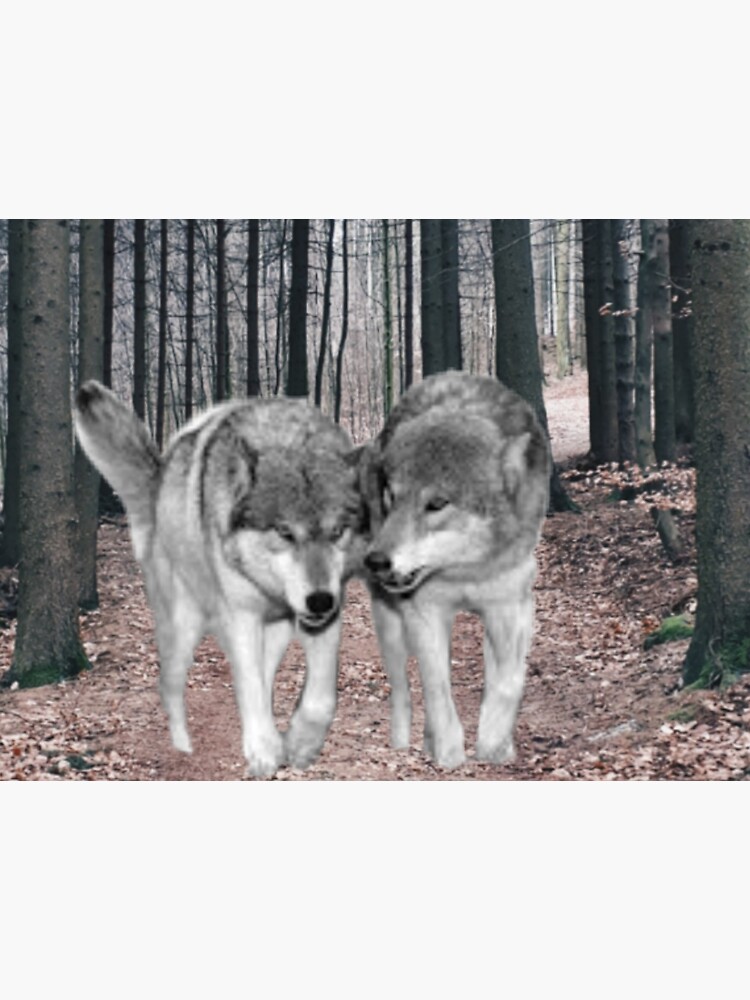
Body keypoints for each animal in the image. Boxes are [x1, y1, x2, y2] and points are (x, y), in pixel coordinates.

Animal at [74, 382, 362, 777]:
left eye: (337, 532)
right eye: (285, 533)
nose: (319, 601)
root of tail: (159, 480)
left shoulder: (328, 610)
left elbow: (319, 697)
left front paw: (300, 743)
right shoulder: (240, 616)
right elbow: (249, 685)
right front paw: (263, 750)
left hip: (274, 631)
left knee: (264, 676)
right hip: (184, 629)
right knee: (169, 686)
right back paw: (183, 747)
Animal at [360, 371, 550, 769]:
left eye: (436, 504)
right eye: (392, 498)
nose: (376, 561)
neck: (464, 571)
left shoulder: (511, 608)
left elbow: (509, 682)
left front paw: (494, 745)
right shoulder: (424, 611)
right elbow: (436, 690)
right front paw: (449, 755)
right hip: (390, 628)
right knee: (402, 691)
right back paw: (408, 742)